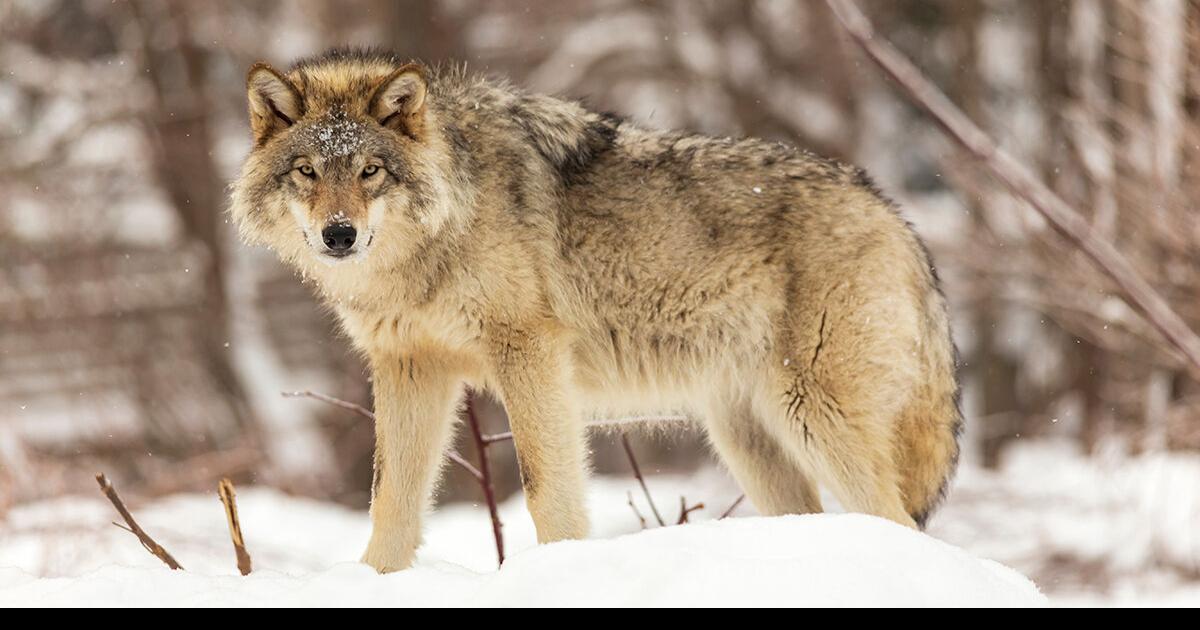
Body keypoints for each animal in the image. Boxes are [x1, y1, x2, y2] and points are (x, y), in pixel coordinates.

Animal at [230, 48, 962, 573]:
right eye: (307, 172)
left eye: (370, 172)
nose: (339, 235)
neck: (439, 234)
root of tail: (894, 214)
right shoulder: (409, 366)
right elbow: (391, 500)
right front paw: (375, 582)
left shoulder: (528, 351)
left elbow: (544, 486)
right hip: (750, 440)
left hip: (814, 417)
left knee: (900, 522)